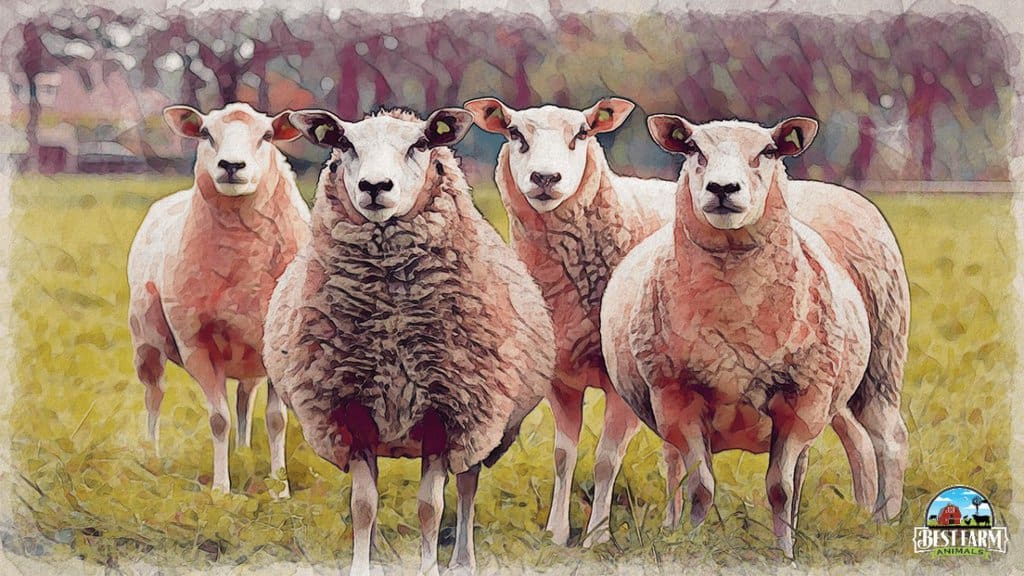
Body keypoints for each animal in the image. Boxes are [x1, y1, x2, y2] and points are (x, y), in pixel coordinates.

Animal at [127, 102, 309, 496]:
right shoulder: (196, 346)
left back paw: (243, 453)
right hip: (145, 343)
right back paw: (151, 456)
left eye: (267, 136)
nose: (231, 166)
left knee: (244, 398)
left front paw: (279, 489)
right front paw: (221, 490)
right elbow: (218, 419)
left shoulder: (280, 349)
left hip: (250, 357)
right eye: (205, 133)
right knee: (154, 396)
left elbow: (275, 420)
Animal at [264, 106, 554, 576]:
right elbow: (364, 505)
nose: (375, 187)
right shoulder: (353, 413)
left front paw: (428, 567)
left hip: (481, 428)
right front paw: (361, 566)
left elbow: (430, 508)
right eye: (344, 144)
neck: (392, 323)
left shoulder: (447, 413)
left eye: (419, 144)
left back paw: (462, 560)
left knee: (468, 489)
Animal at [464, 96, 677, 547]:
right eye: (514, 133)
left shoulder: (620, 383)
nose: (546, 177)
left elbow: (606, 460)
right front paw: (556, 532)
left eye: (581, 133)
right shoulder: (558, 378)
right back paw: (675, 524)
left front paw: (597, 535)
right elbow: (563, 456)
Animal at [601, 114, 909, 558]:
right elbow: (700, 485)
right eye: (693, 148)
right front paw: (694, 545)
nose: (723, 189)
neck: (736, 309)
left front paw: (784, 554)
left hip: (881, 360)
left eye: (768, 151)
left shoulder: (801, 399)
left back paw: (885, 522)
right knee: (841, 448)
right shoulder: (676, 398)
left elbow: (779, 487)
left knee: (888, 440)